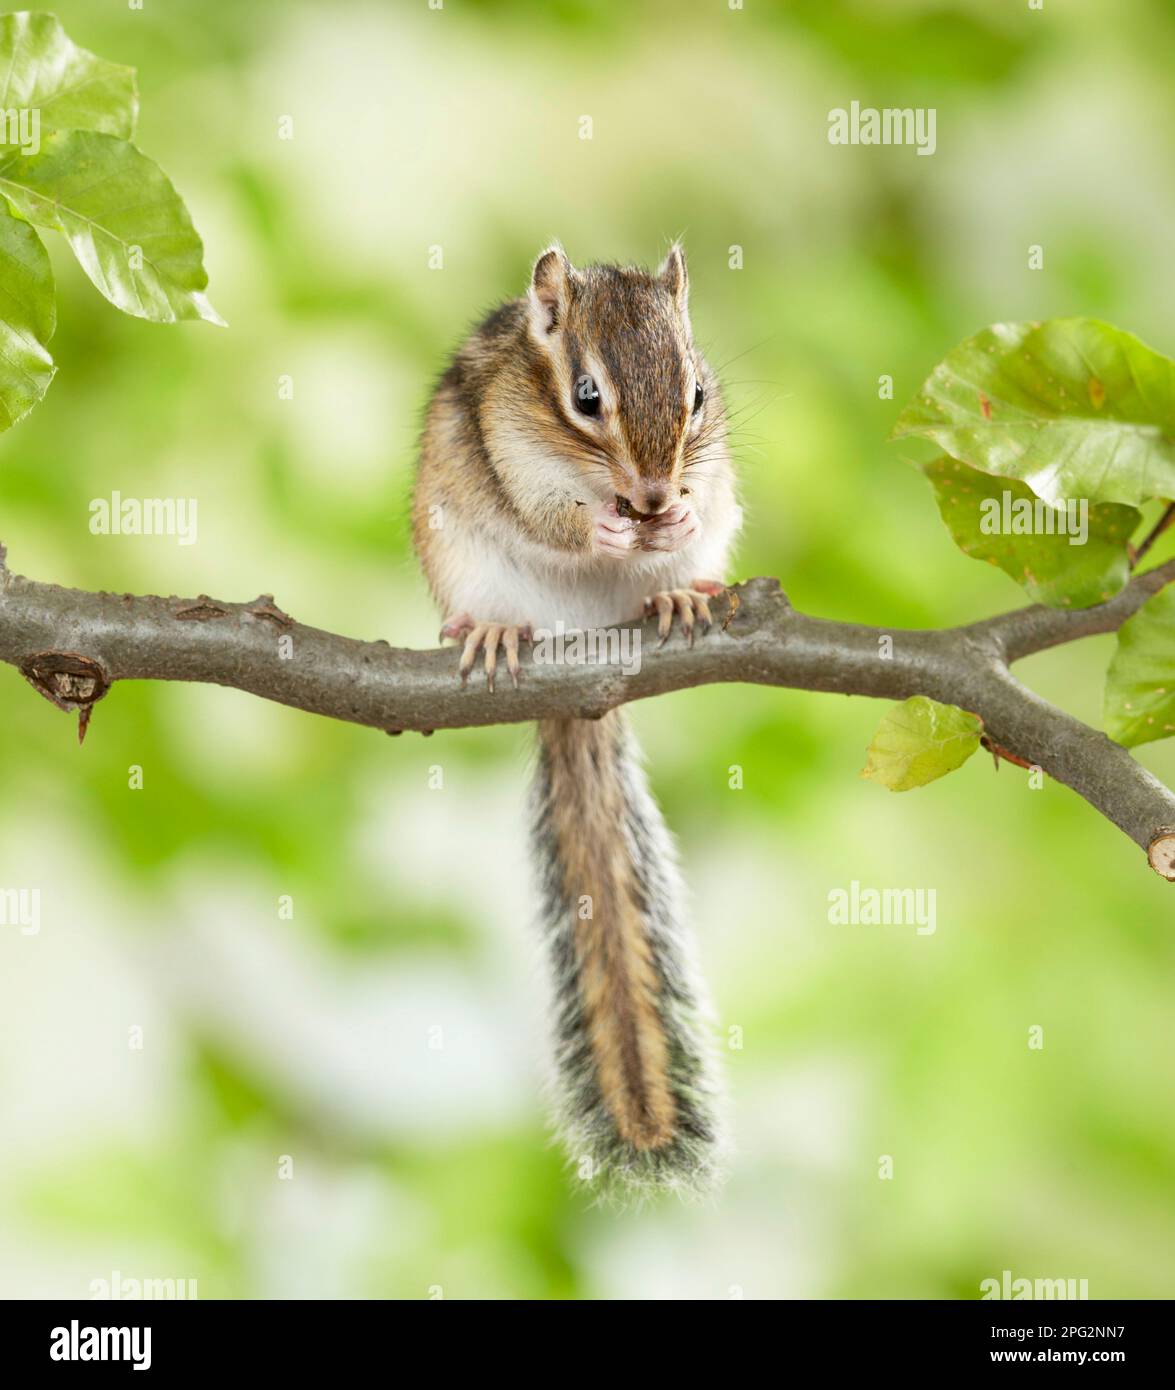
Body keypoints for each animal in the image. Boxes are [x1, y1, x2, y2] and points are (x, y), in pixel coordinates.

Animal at [412, 244, 742, 1198]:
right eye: (587, 397)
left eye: (697, 392)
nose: (653, 494)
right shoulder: (511, 451)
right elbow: (550, 518)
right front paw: (600, 526)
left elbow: (702, 499)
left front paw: (678, 521)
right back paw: (492, 629)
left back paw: (674, 593)